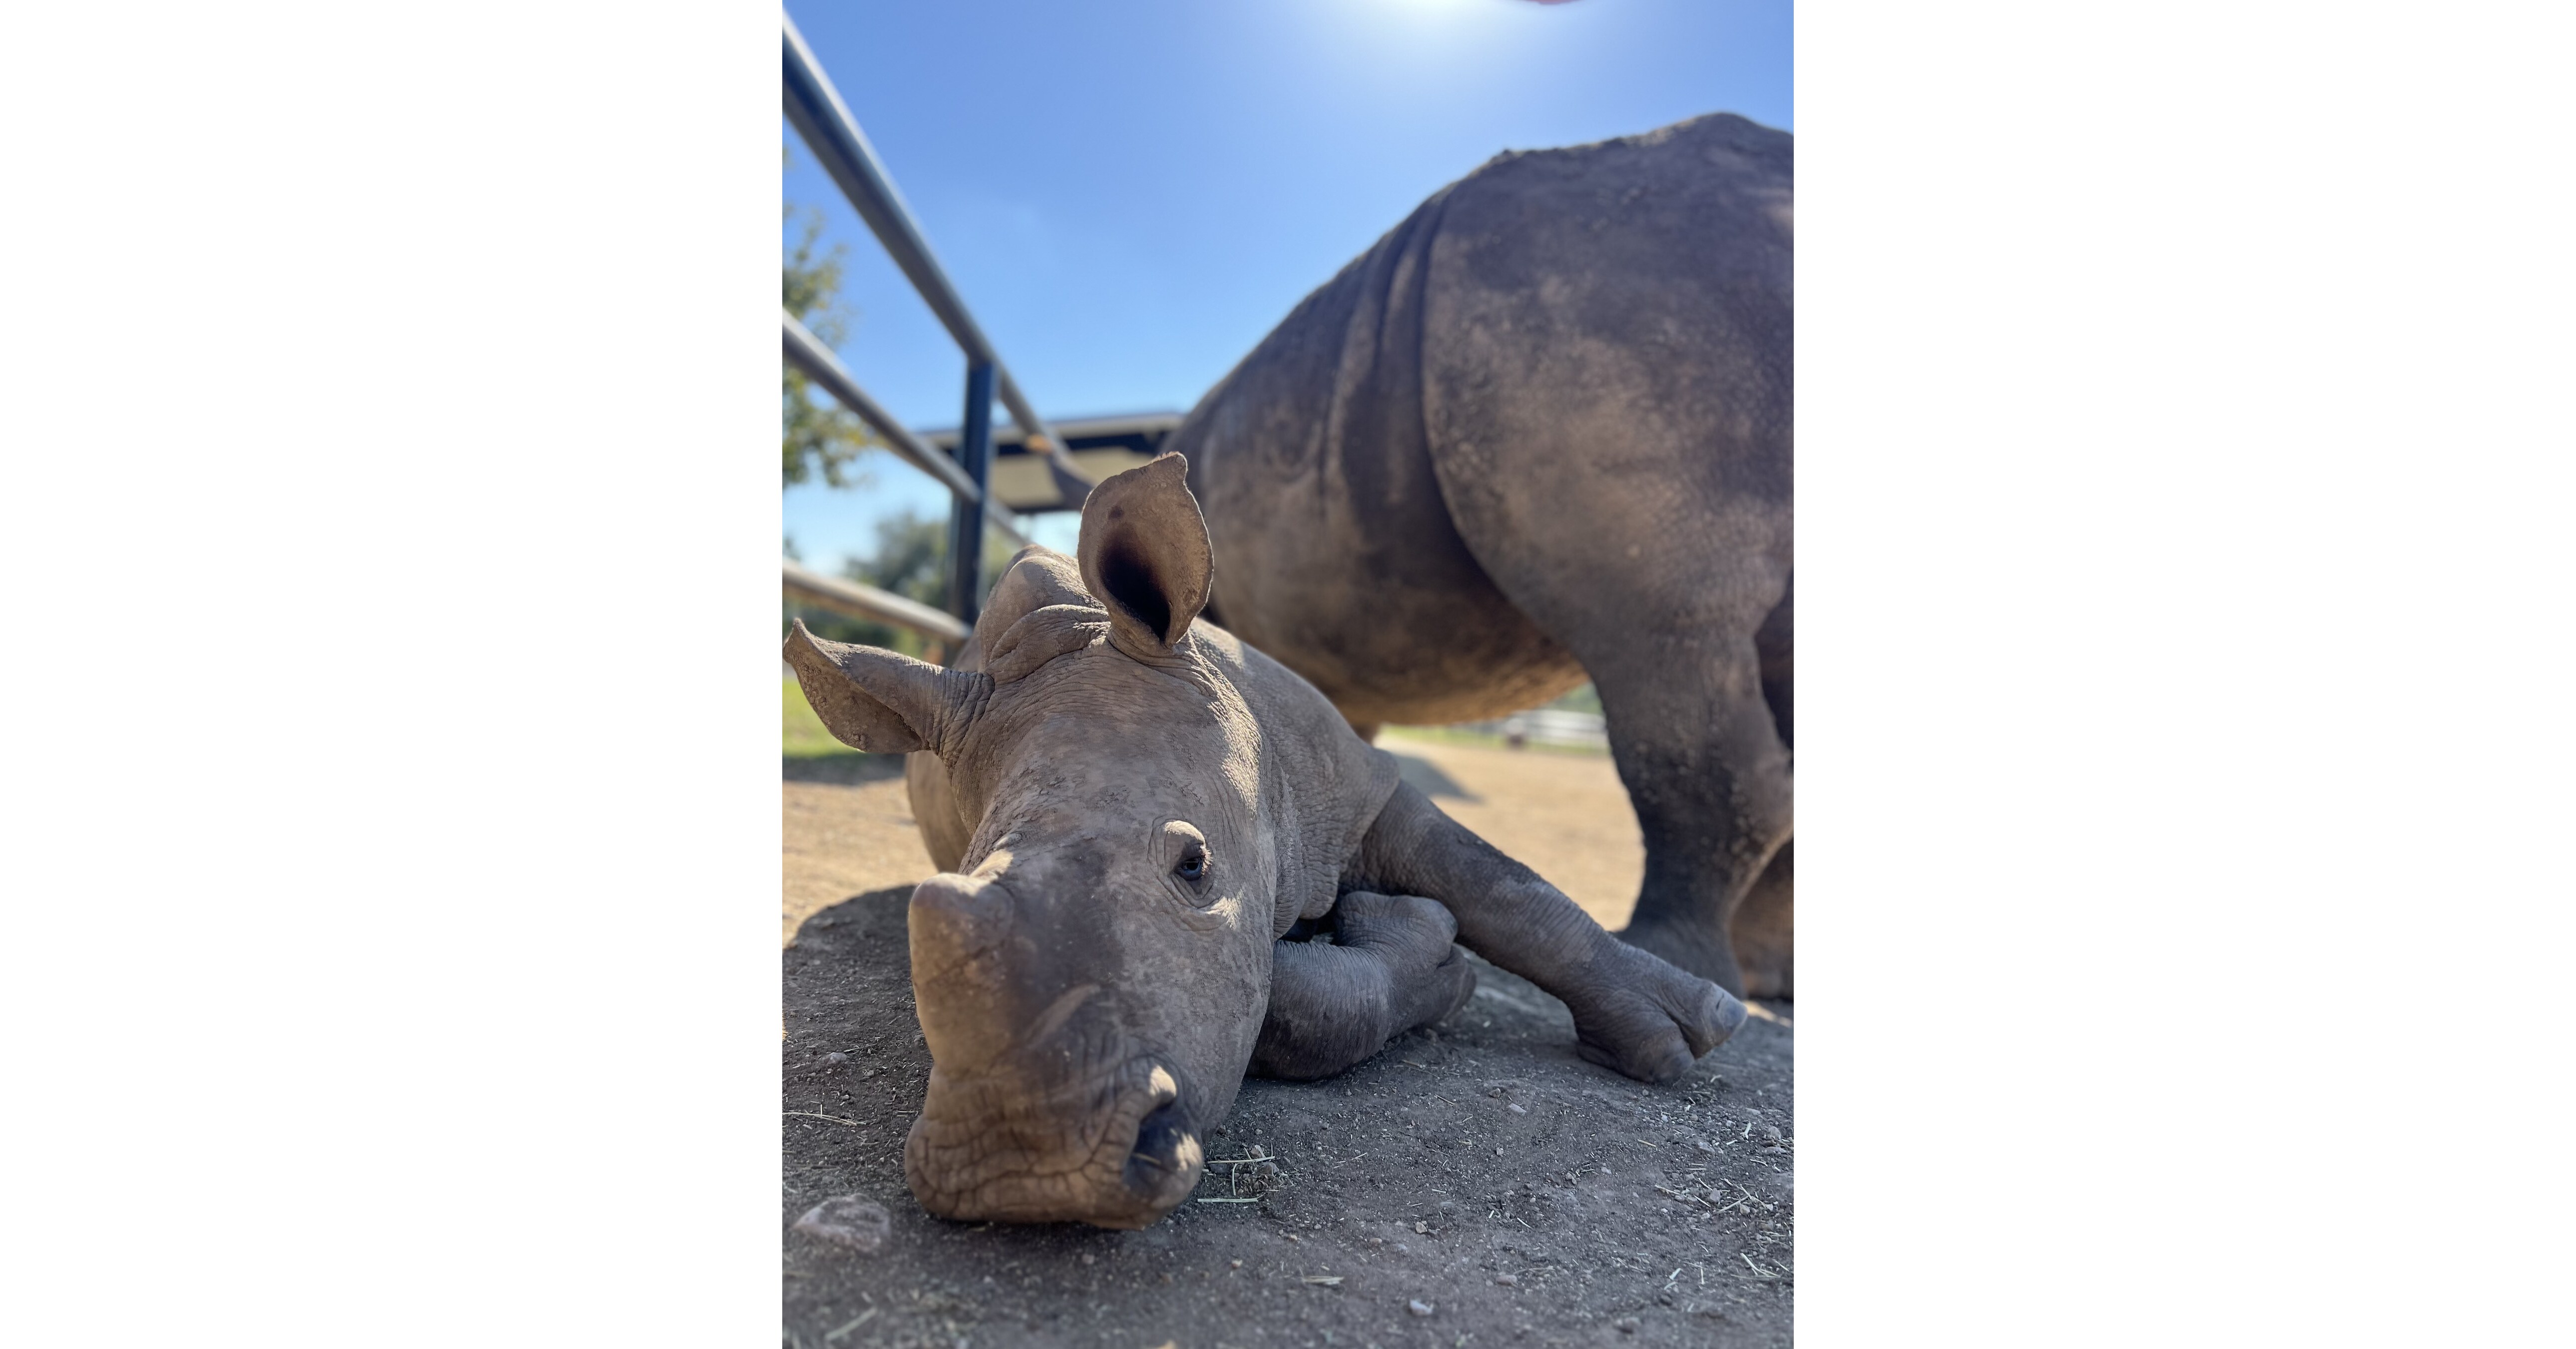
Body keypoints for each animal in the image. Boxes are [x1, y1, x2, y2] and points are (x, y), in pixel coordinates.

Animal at [783, 455, 1744, 1229]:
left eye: (1195, 866)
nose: (1023, 1179)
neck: (1071, 630)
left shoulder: (1361, 787)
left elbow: (1508, 891)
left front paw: (1683, 1039)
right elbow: (1288, 1006)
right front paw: (1429, 954)